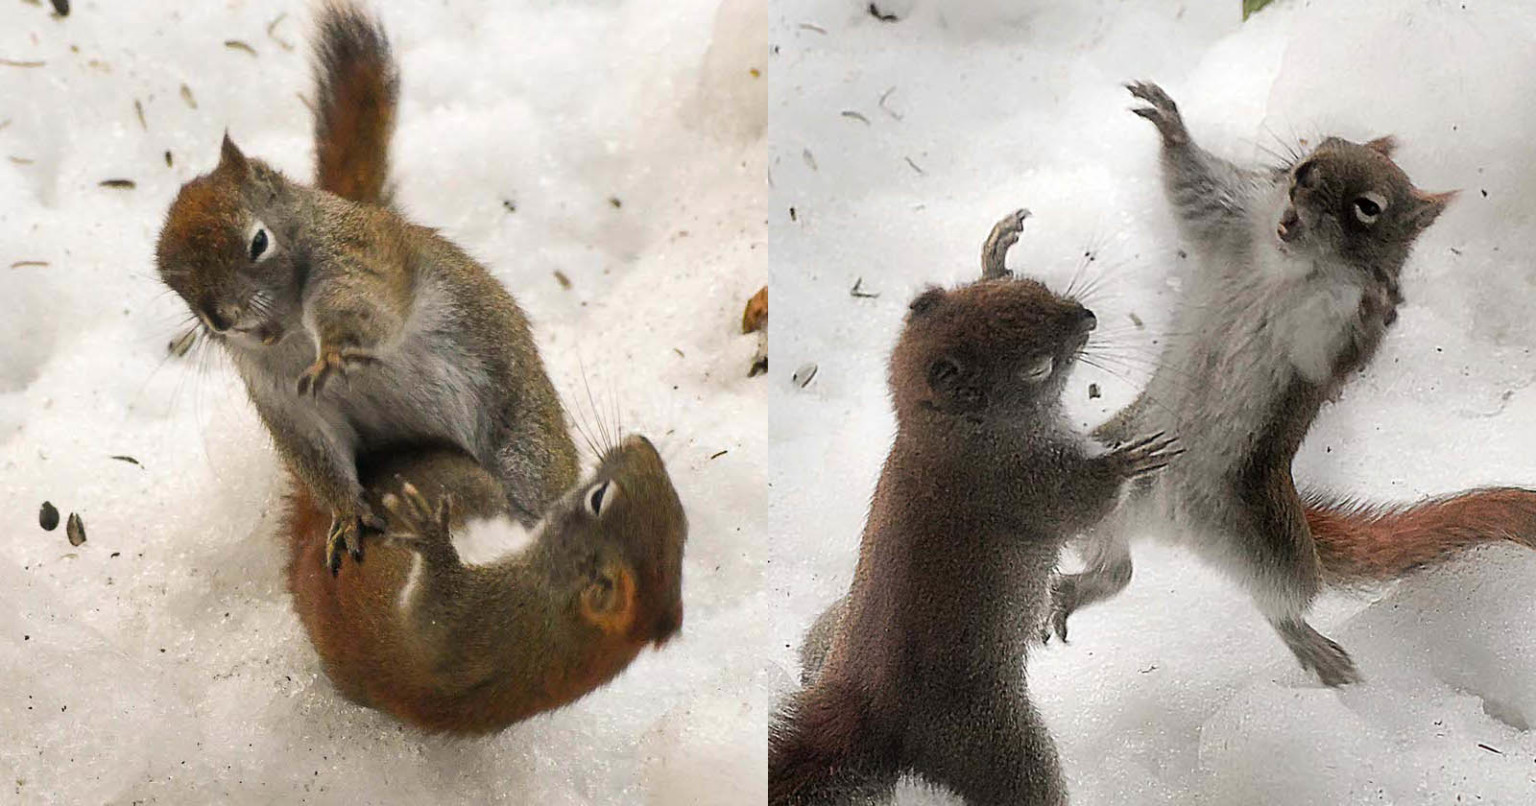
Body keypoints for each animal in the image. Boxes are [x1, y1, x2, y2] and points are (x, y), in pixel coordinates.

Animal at [154, 1, 579, 574]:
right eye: (173, 283)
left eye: (258, 242)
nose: (219, 318)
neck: (290, 334)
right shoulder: (287, 405)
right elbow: (321, 460)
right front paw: (347, 516)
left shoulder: (361, 258)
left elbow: (361, 311)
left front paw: (336, 353)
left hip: (527, 451)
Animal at [285, 434, 687, 734]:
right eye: (683, 522)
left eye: (599, 498)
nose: (639, 441)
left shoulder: (482, 625)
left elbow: (428, 626)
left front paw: (432, 539)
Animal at [770, 212, 1179, 805]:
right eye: (1036, 367)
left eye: (1027, 289)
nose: (1088, 317)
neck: (941, 437)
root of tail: (870, 712)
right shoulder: (1012, 484)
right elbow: (1078, 505)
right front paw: (1128, 460)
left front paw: (995, 250)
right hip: (992, 743)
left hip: (830, 630)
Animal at [1048, 81, 1536, 687]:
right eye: (1320, 151)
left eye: (1367, 207)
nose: (1303, 178)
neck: (1292, 264)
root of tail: (1172, 525)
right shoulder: (1235, 221)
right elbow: (1193, 189)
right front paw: (1171, 126)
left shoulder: (1327, 345)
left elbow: (1338, 338)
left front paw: (1378, 300)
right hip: (1110, 478)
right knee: (1116, 570)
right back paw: (1073, 590)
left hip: (1271, 544)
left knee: (1280, 603)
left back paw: (1314, 648)